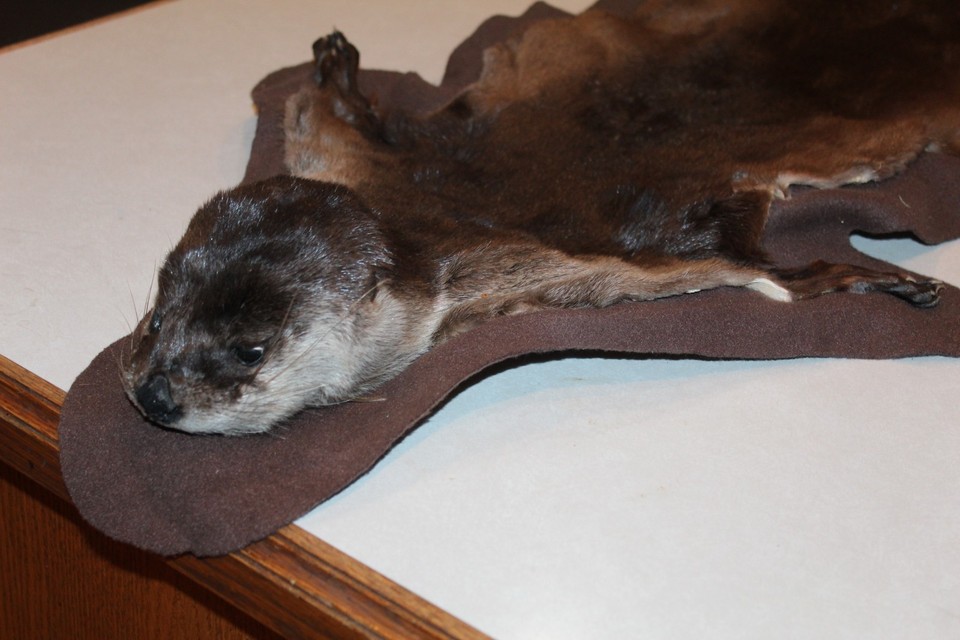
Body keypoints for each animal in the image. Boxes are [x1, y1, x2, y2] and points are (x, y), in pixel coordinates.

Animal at [123, 1, 959, 435]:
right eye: (156, 318)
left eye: (250, 350)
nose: (154, 394)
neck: (429, 224)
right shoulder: (343, 157)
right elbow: (321, 106)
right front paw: (334, 58)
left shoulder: (569, 266)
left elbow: (762, 271)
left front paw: (892, 283)